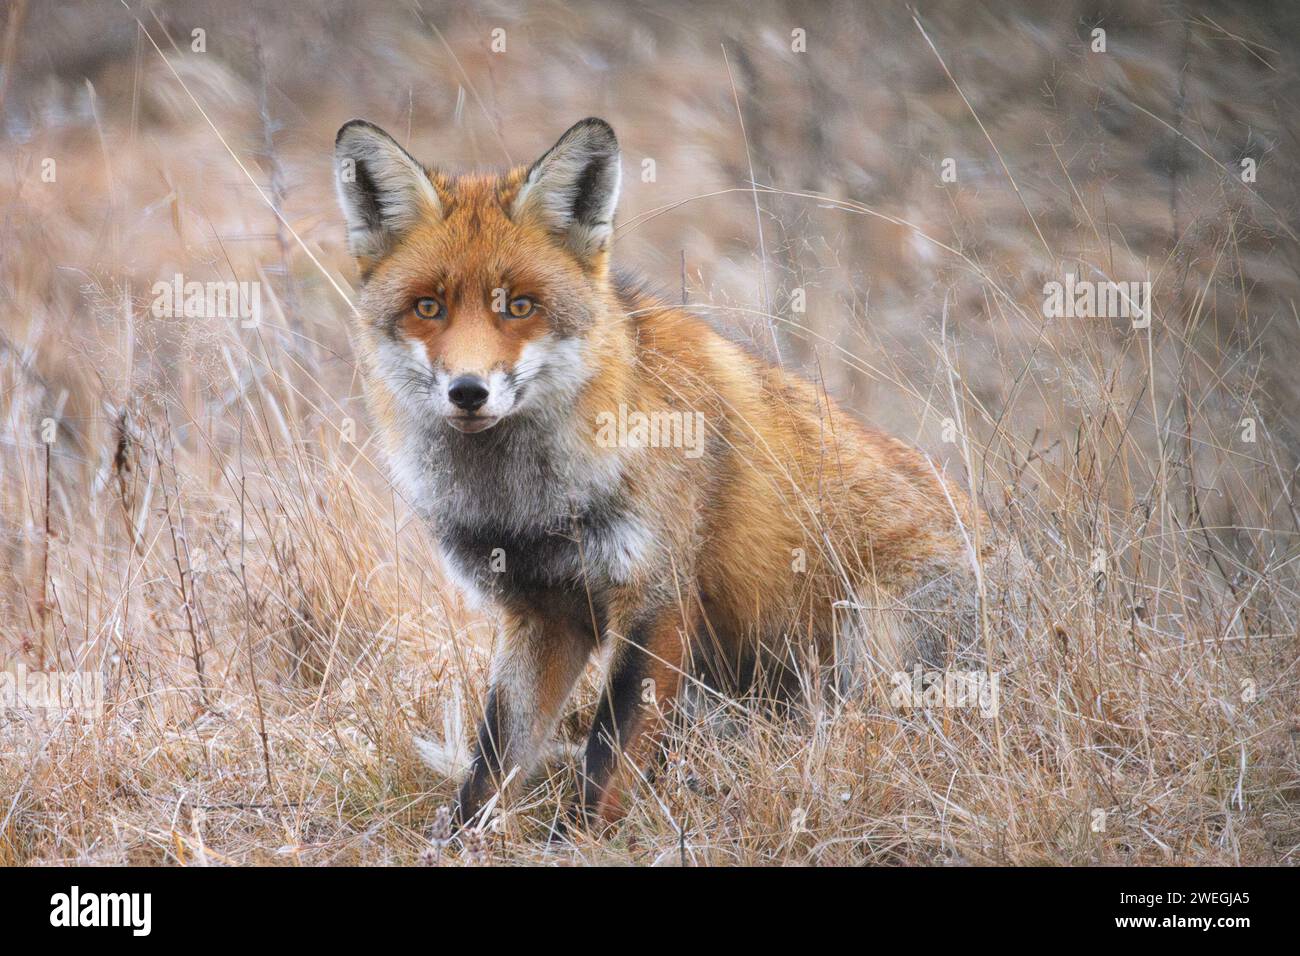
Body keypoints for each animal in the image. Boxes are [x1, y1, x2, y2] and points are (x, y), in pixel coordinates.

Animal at [333, 117, 1002, 830]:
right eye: (428, 307)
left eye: (520, 307)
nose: (467, 391)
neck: (531, 501)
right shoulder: (543, 612)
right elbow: (491, 763)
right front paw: (463, 841)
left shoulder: (656, 598)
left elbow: (607, 757)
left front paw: (583, 842)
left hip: (870, 640)